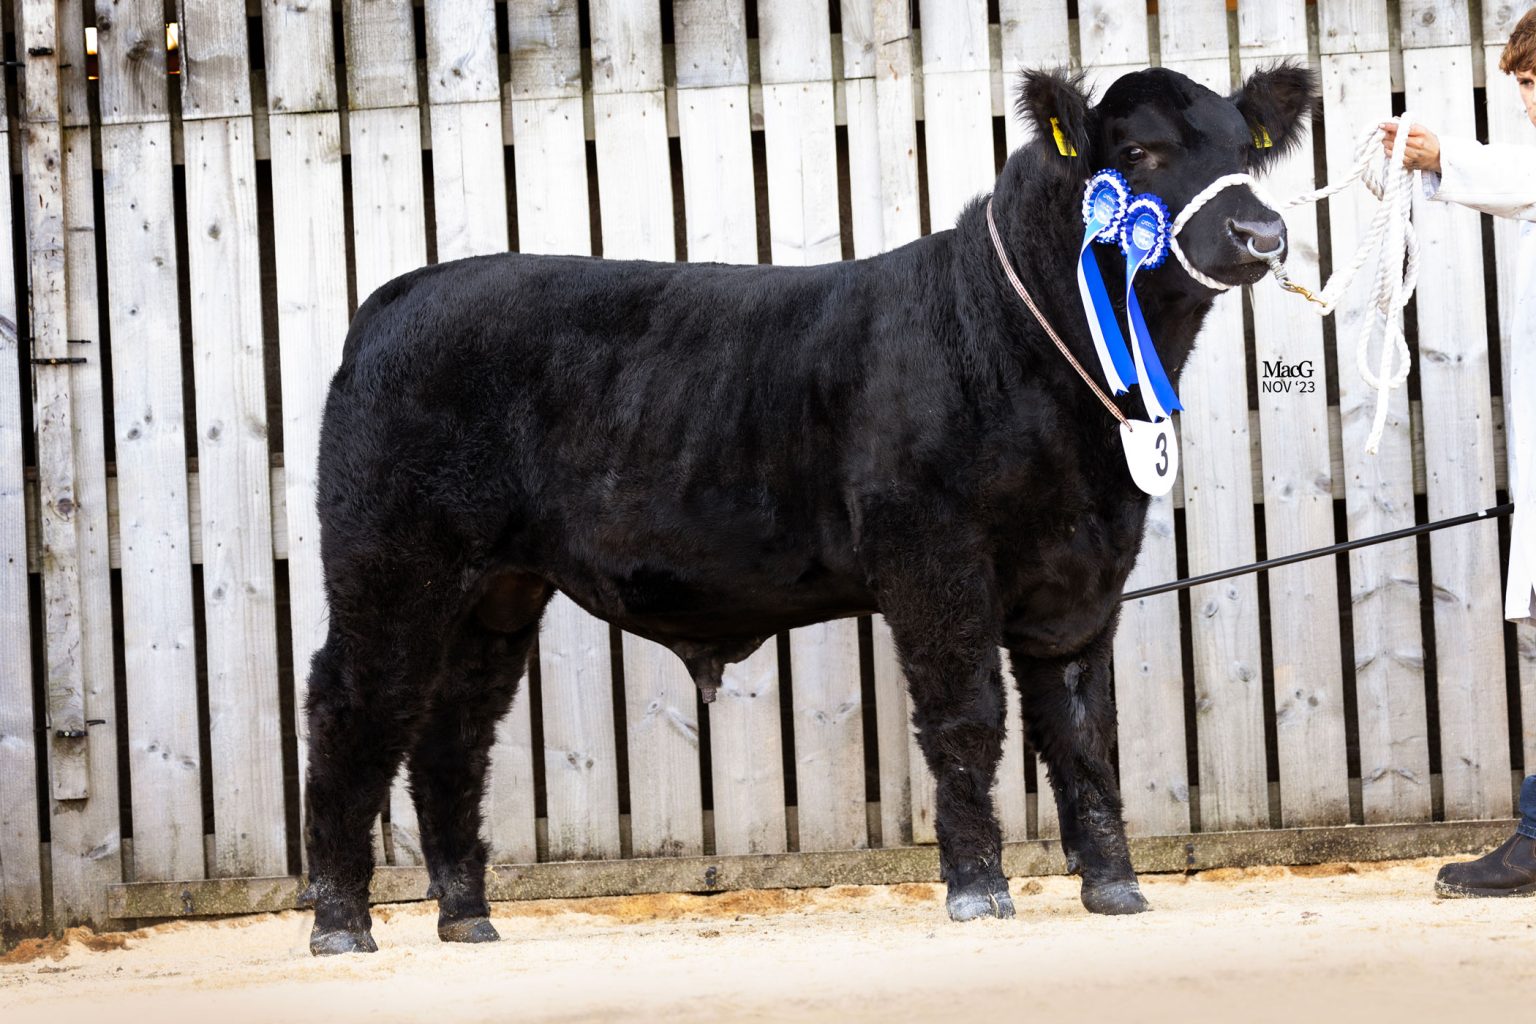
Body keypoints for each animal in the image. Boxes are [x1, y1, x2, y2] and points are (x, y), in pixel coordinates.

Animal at [298, 64, 1316, 955]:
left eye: (1245, 148)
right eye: (1139, 152)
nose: (1262, 234)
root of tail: (402, 295)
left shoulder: (1084, 573)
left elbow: (1083, 728)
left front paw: (1116, 886)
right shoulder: (932, 556)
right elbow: (966, 713)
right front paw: (979, 890)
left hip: (497, 590)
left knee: (452, 729)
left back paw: (467, 916)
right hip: (390, 560)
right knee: (351, 704)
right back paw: (342, 921)